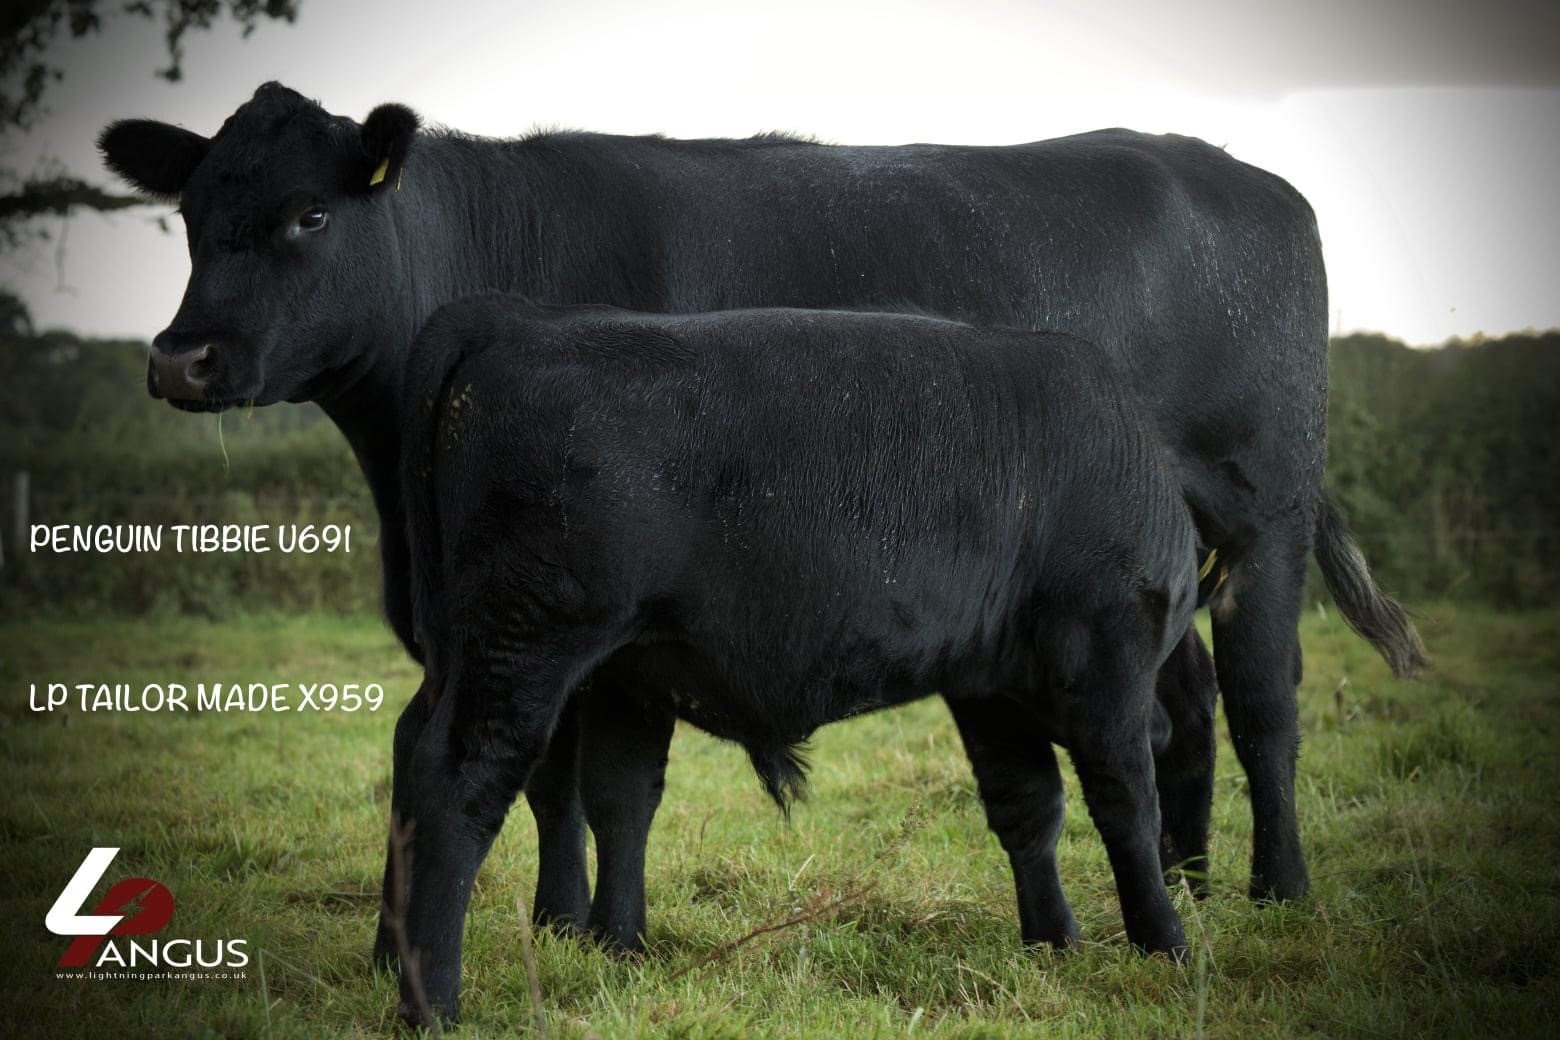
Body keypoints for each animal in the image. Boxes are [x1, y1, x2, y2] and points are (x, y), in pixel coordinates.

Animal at [393, 293, 1204, 1023]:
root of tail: (516, 321)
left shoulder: (989, 686)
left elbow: (1029, 806)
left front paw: (1054, 943)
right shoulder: (1108, 650)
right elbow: (1126, 799)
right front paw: (1168, 947)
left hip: (573, 659)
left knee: (546, 777)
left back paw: (598, 948)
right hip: (526, 638)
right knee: (458, 783)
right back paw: (433, 1004)